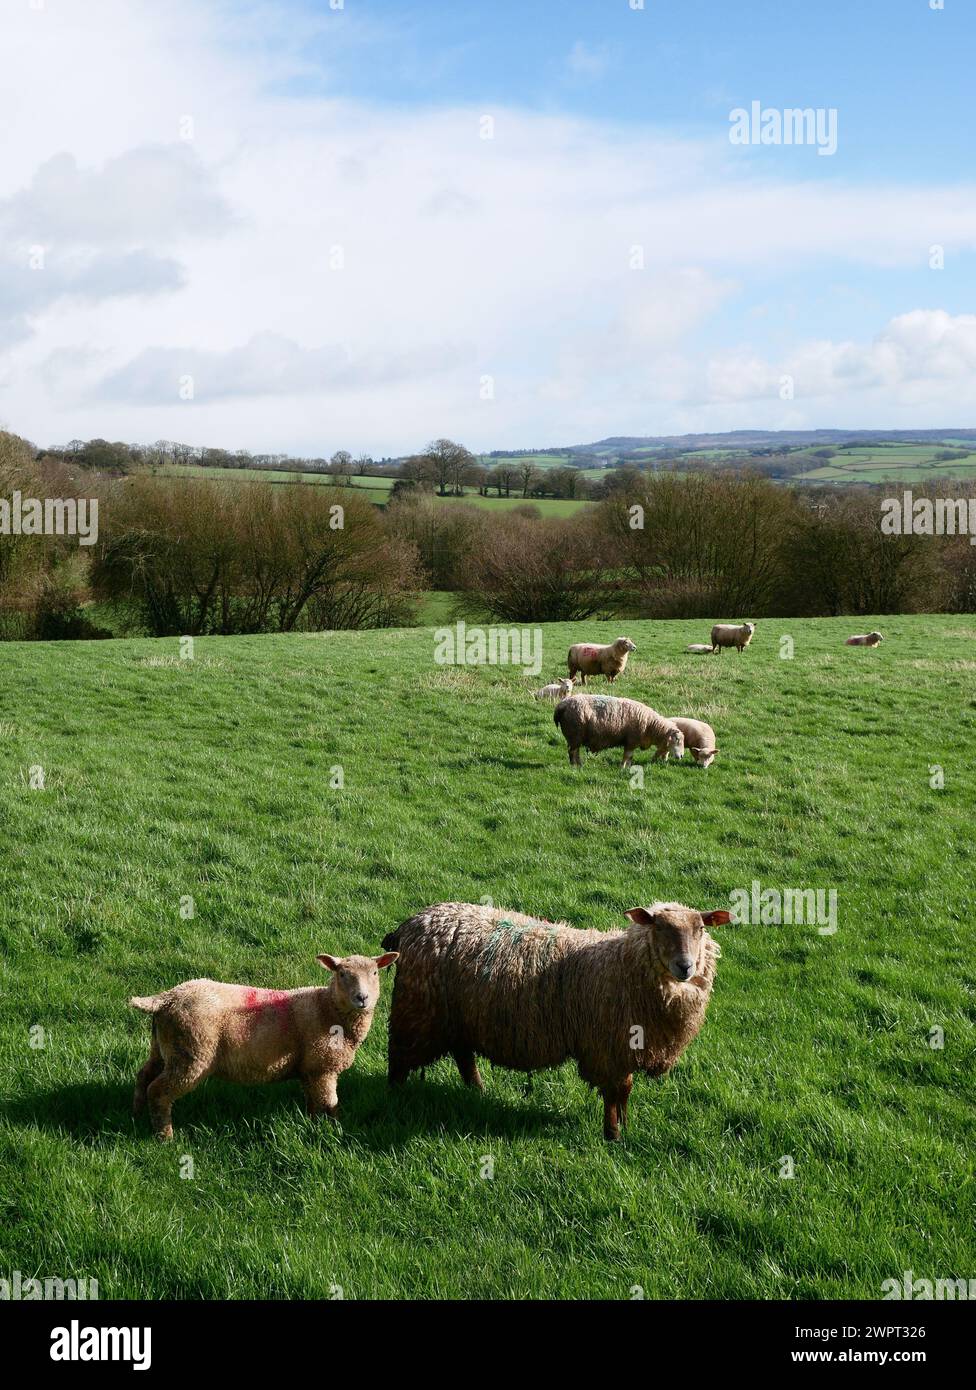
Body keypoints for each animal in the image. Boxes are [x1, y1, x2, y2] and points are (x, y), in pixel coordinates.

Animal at [129, 951, 398, 1140]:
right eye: (342, 973)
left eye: (375, 973)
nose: (362, 998)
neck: (327, 1008)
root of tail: (166, 998)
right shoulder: (323, 1067)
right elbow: (330, 1104)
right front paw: (334, 1130)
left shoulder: (311, 1070)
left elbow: (313, 1102)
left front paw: (314, 1124)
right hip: (192, 1054)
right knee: (158, 1091)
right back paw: (165, 1136)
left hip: (163, 1048)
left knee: (143, 1075)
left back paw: (137, 1113)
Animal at [382, 900, 732, 1141]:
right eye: (659, 927)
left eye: (701, 929)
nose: (685, 966)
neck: (622, 964)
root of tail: (411, 924)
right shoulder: (607, 1049)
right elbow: (616, 1092)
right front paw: (612, 1135)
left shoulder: (623, 1047)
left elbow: (625, 1091)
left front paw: (623, 1127)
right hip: (416, 1012)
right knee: (399, 1059)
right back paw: (394, 1098)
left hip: (460, 1017)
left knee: (463, 1056)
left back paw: (477, 1090)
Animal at [554, 693, 684, 768]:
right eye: (677, 740)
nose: (682, 756)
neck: (651, 725)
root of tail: (562, 705)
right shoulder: (631, 741)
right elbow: (627, 756)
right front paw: (622, 768)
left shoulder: (632, 743)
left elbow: (630, 758)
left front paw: (628, 767)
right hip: (574, 735)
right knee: (573, 753)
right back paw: (575, 767)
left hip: (574, 737)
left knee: (574, 752)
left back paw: (579, 765)